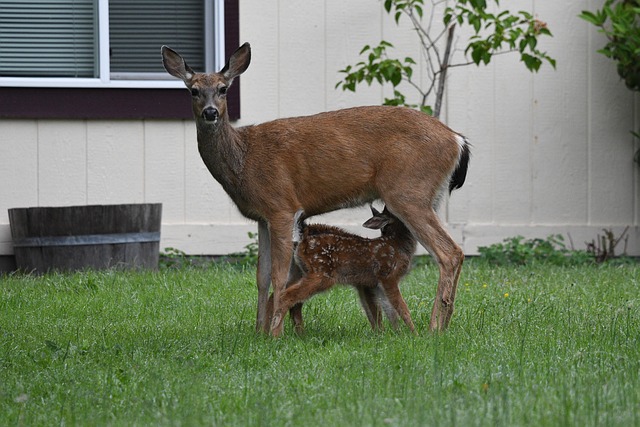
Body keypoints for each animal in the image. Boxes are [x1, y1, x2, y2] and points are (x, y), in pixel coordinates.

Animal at [267, 205, 418, 336]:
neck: (397, 245)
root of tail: (303, 235)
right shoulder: (388, 276)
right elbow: (401, 307)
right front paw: (413, 333)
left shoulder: (372, 284)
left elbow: (387, 311)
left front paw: (393, 334)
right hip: (322, 273)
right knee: (287, 296)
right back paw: (276, 334)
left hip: (301, 271)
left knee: (281, 297)